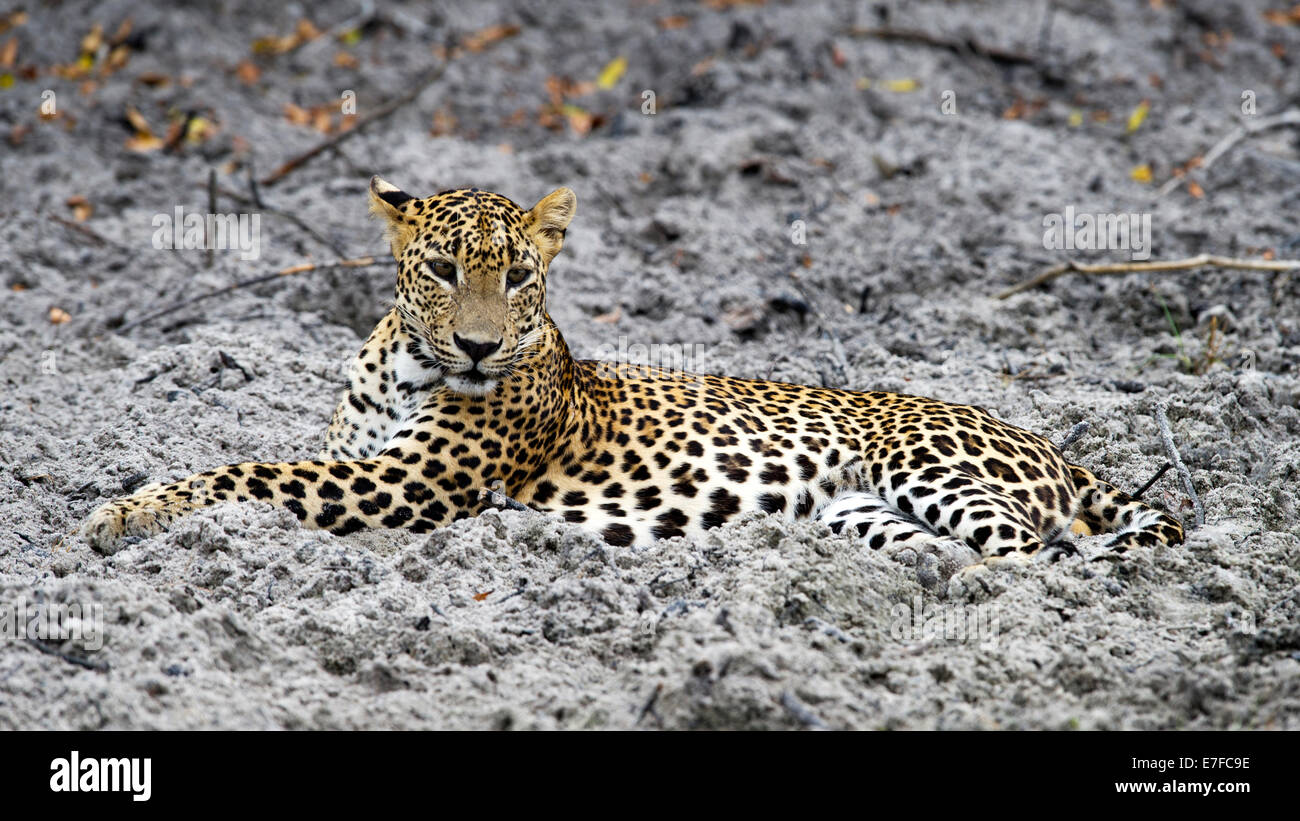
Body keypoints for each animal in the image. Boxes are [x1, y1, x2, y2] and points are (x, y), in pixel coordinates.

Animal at [83, 177, 1185, 587]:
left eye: (516, 274)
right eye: (440, 269)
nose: (476, 347)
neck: (404, 359)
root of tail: (1052, 442)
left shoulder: (397, 485)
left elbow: (243, 468)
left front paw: (123, 512)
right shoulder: (358, 459)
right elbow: (255, 460)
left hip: (938, 471)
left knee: (1051, 560)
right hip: (866, 514)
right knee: (970, 556)